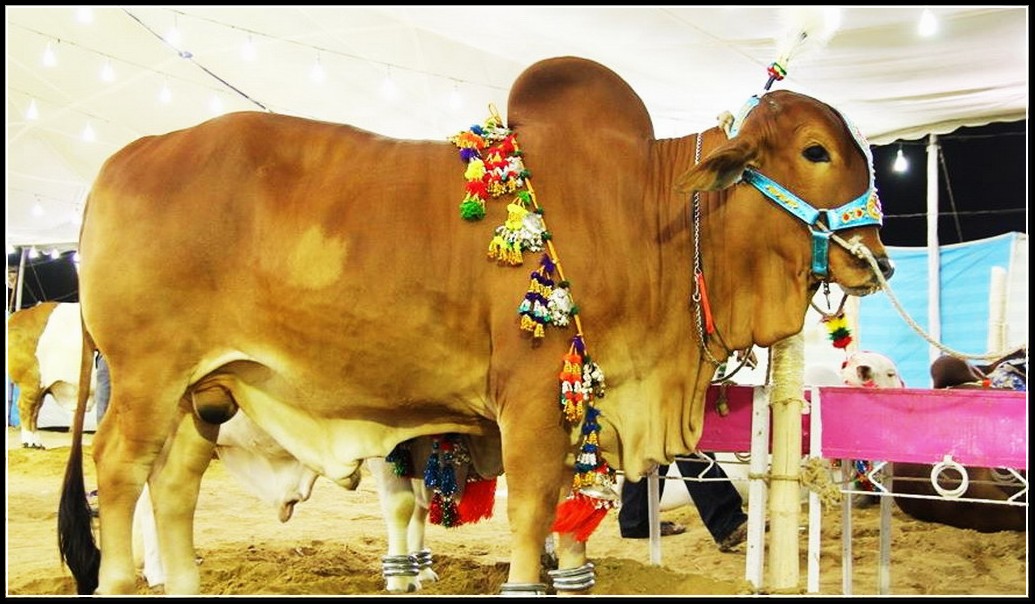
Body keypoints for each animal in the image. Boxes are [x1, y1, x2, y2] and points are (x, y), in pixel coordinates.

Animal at [7, 301, 96, 448]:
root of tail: (19, 315)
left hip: (41, 389)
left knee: (35, 412)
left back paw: (37, 443)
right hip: (32, 382)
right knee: (26, 408)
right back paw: (29, 441)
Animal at [59, 55, 893, 595]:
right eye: (815, 151)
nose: (878, 257)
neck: (643, 211)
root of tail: (123, 161)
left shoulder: (587, 407)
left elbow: (570, 520)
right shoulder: (531, 398)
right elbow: (529, 513)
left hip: (205, 393)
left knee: (172, 487)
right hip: (145, 380)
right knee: (120, 472)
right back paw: (122, 581)